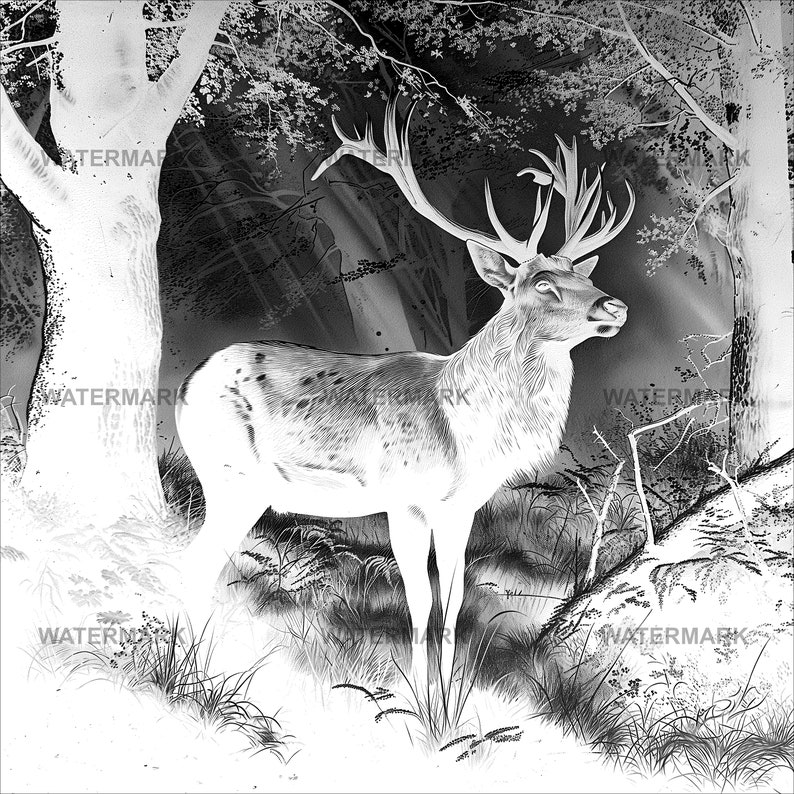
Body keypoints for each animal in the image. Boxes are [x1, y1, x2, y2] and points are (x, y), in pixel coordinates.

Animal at [175, 99, 634, 692]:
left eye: (581, 274)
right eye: (542, 283)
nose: (614, 306)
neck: (467, 437)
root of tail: (186, 383)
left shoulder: (462, 508)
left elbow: (455, 602)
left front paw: (451, 696)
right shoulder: (406, 499)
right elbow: (419, 602)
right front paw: (419, 700)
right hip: (234, 480)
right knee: (196, 564)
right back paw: (193, 675)